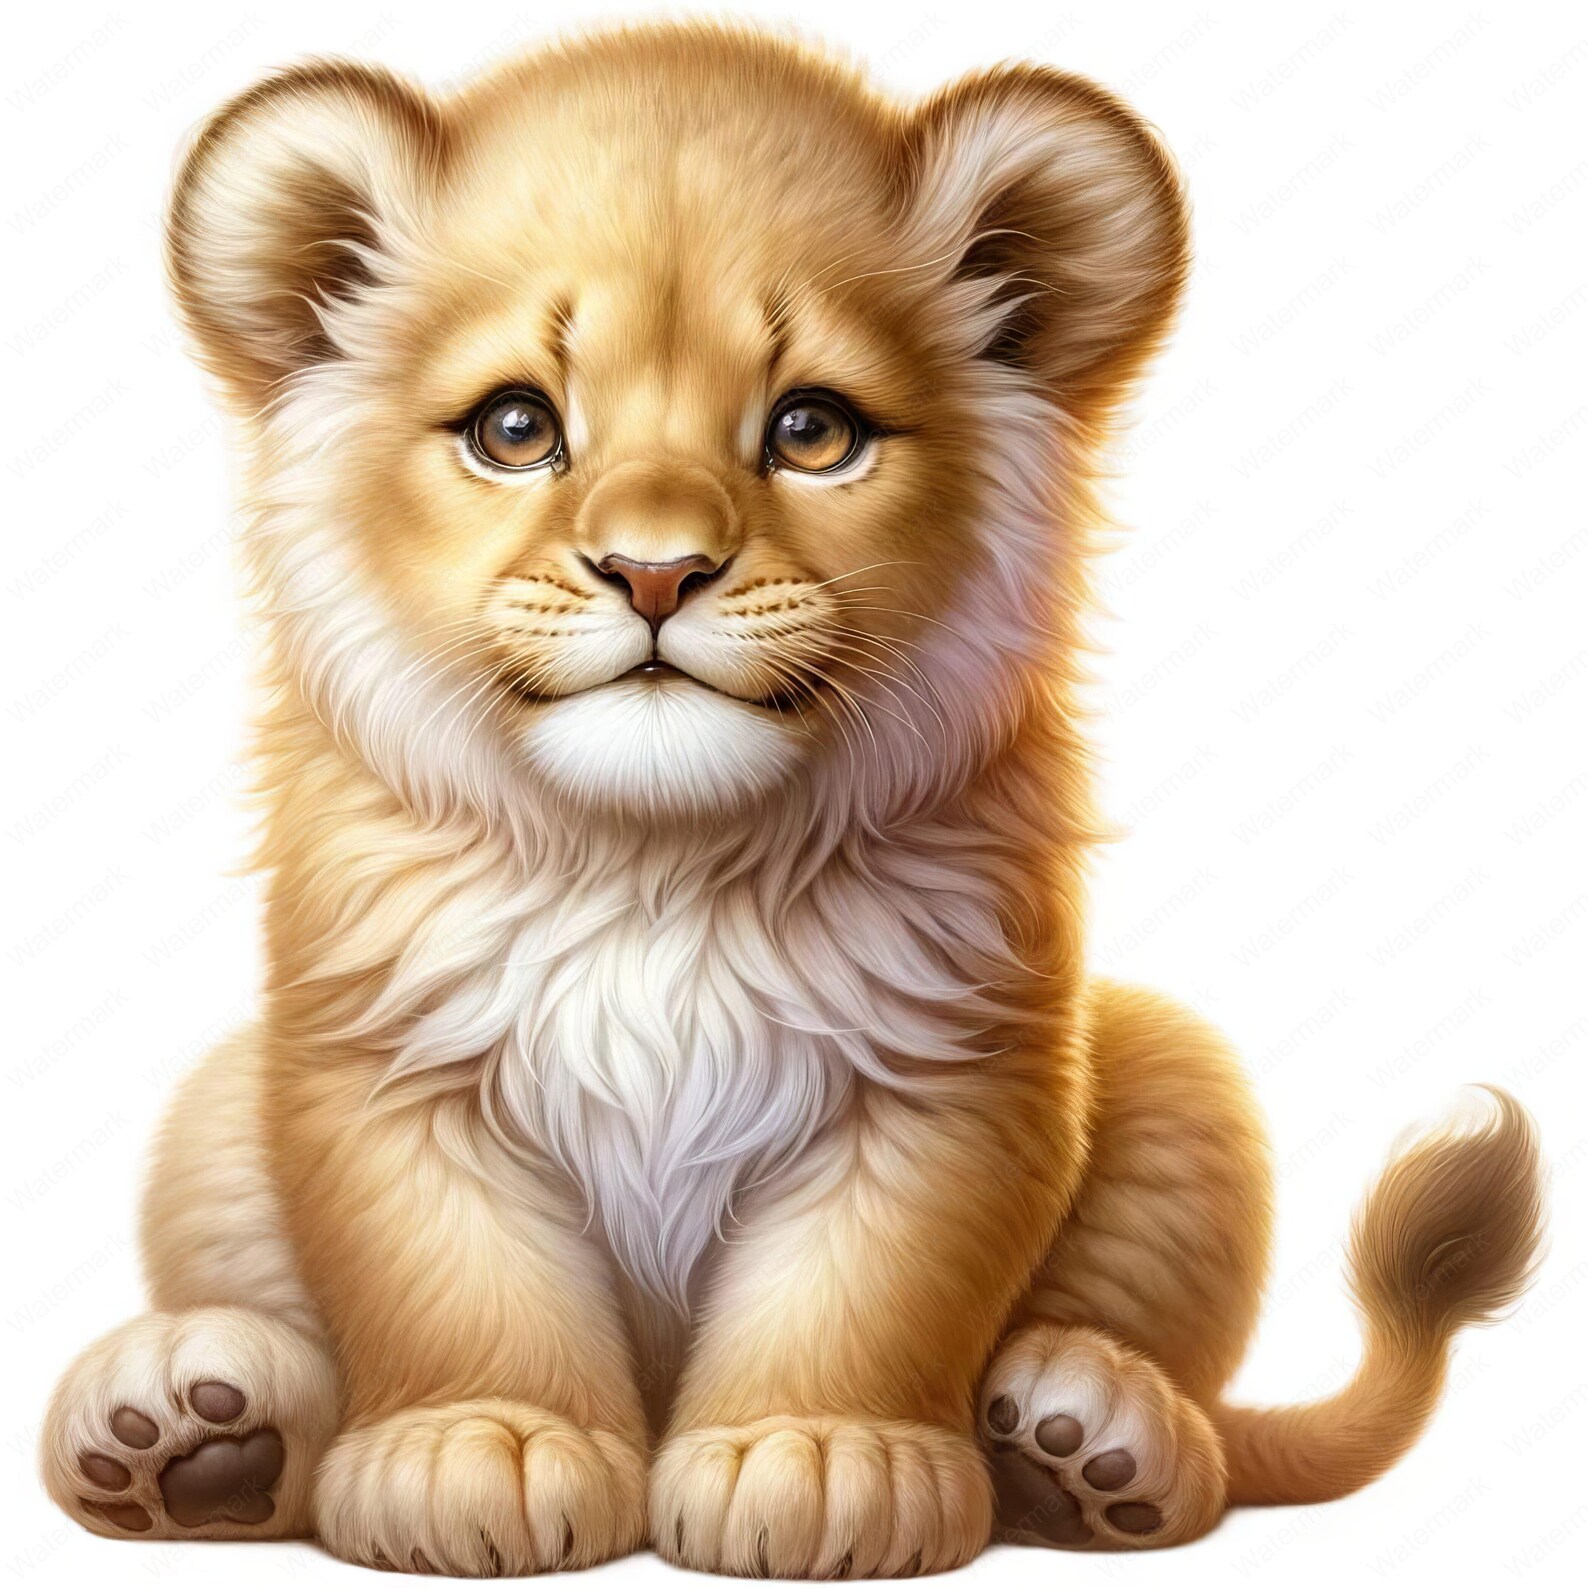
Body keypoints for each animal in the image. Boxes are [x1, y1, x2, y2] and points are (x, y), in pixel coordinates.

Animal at [40, 24, 1543, 1575]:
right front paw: (482, 1449)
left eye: (814, 431)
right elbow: (452, 1278)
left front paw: (815, 1464)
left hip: (1186, 1085)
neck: (655, 870)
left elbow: (865, 1292)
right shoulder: (386, 1059)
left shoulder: (949, 1066)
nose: (654, 570)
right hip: (213, 1111)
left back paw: (1086, 1445)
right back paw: (186, 1435)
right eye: (516, 428)